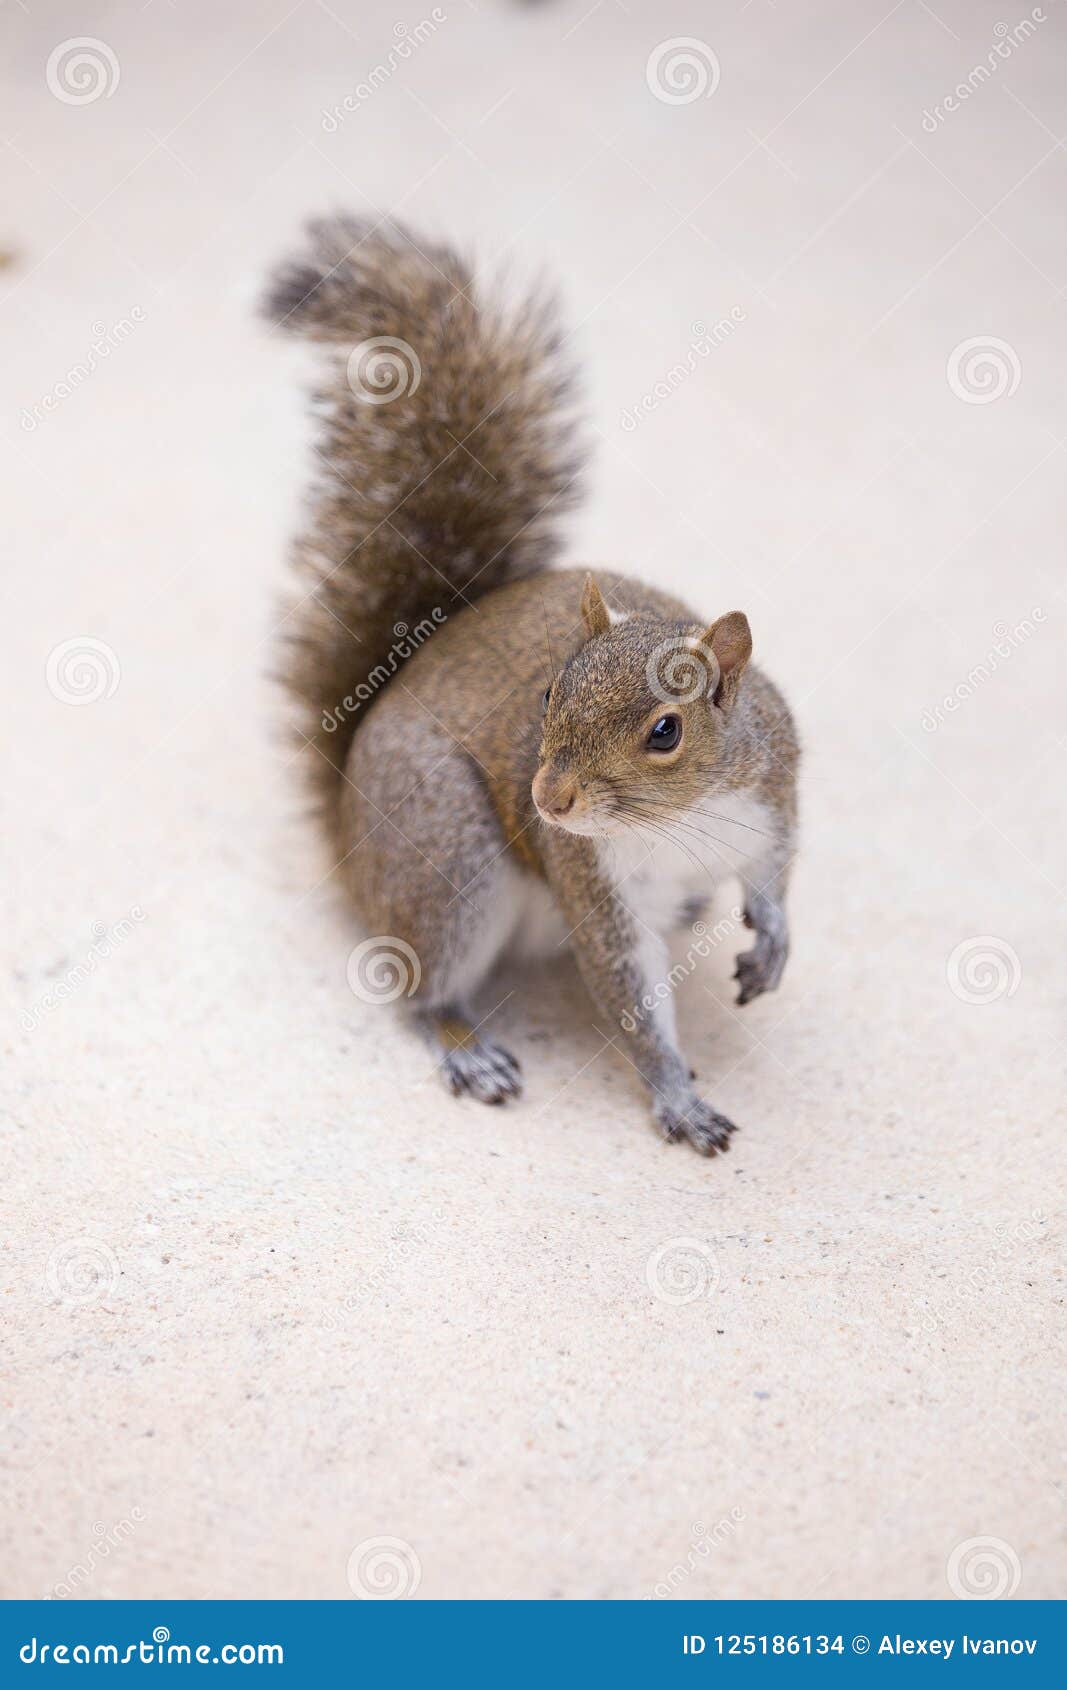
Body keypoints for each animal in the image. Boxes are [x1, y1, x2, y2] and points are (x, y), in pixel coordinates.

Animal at [262, 217, 799, 1155]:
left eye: (665, 731)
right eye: (546, 695)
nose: (546, 799)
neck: (683, 821)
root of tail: (352, 846)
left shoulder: (774, 793)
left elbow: (775, 874)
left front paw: (771, 941)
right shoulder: (594, 885)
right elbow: (628, 993)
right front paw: (675, 1095)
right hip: (446, 851)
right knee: (421, 984)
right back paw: (463, 1044)